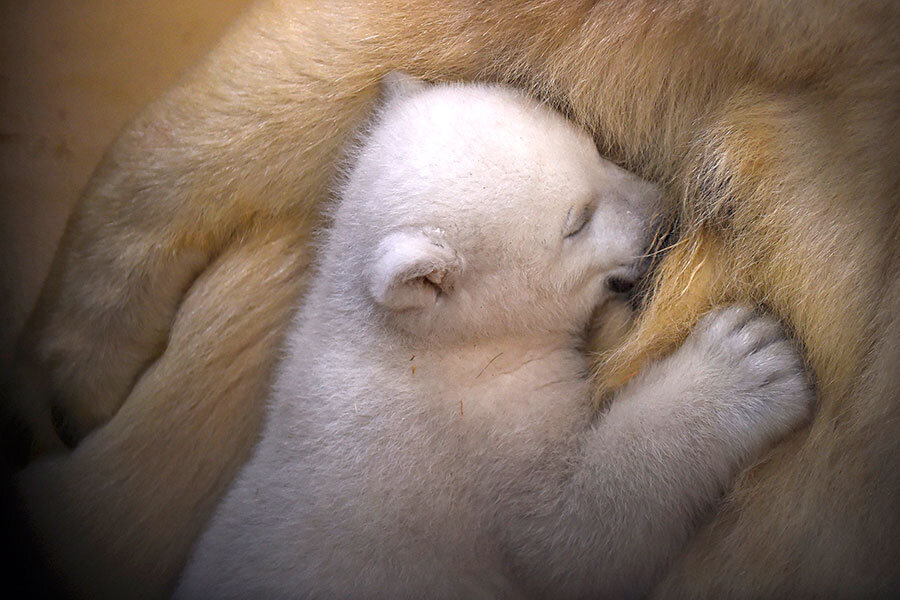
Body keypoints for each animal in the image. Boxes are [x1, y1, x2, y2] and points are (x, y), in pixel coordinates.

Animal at [173, 74, 811, 599]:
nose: (665, 209)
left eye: (594, 147)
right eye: (577, 222)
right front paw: (747, 364)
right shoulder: (469, 447)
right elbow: (571, 539)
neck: (421, 347)